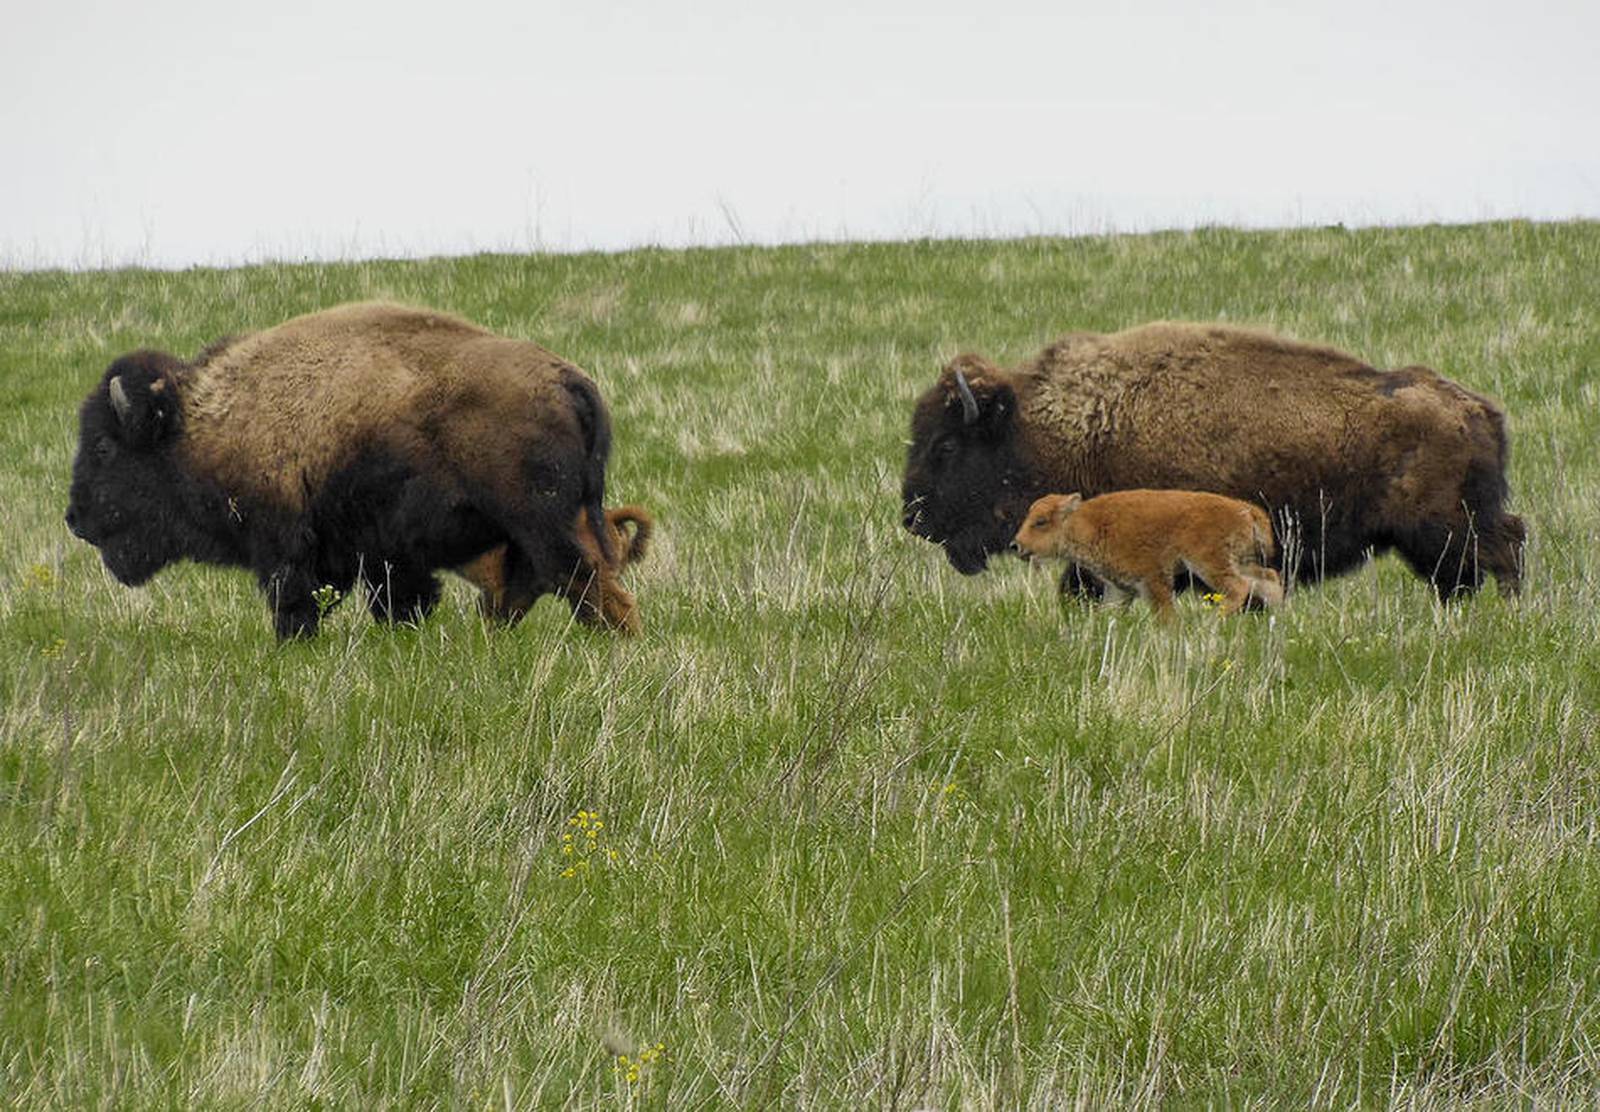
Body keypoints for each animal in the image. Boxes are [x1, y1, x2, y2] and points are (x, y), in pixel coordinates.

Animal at [66, 301, 639, 638]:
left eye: (103, 447)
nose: (75, 518)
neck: (208, 421)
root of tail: (567, 378)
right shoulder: (386, 557)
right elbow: (401, 602)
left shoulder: (287, 551)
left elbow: (295, 608)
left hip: (544, 525)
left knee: (586, 587)